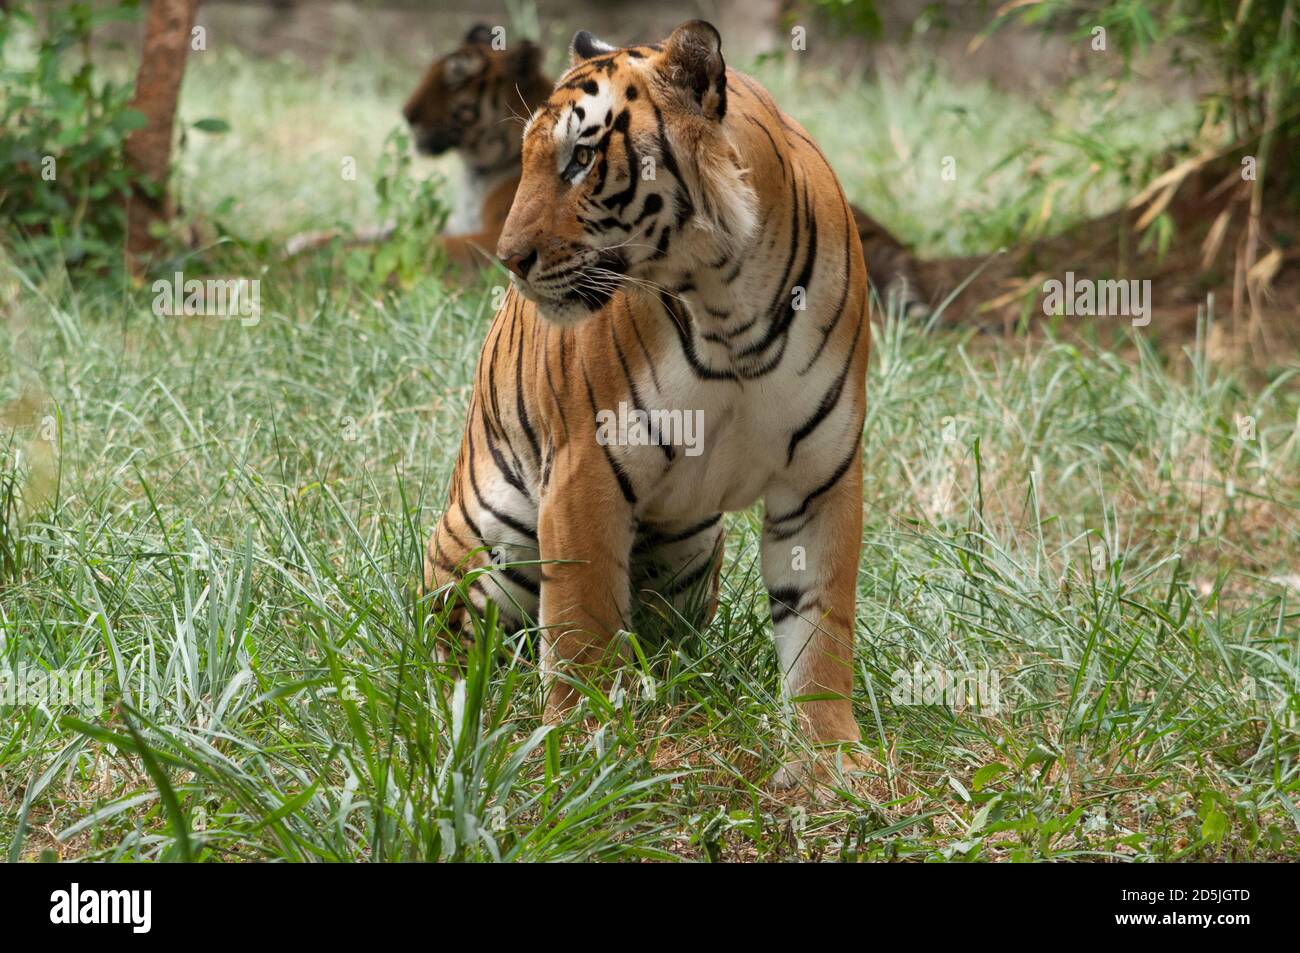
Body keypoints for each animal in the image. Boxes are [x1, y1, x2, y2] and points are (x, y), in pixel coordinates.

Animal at [424, 20, 869, 787]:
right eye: (528, 158)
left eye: (580, 159)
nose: (507, 260)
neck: (729, 304)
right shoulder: (584, 470)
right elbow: (581, 625)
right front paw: (580, 748)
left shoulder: (823, 476)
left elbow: (820, 626)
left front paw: (828, 759)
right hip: (486, 547)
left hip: (693, 552)